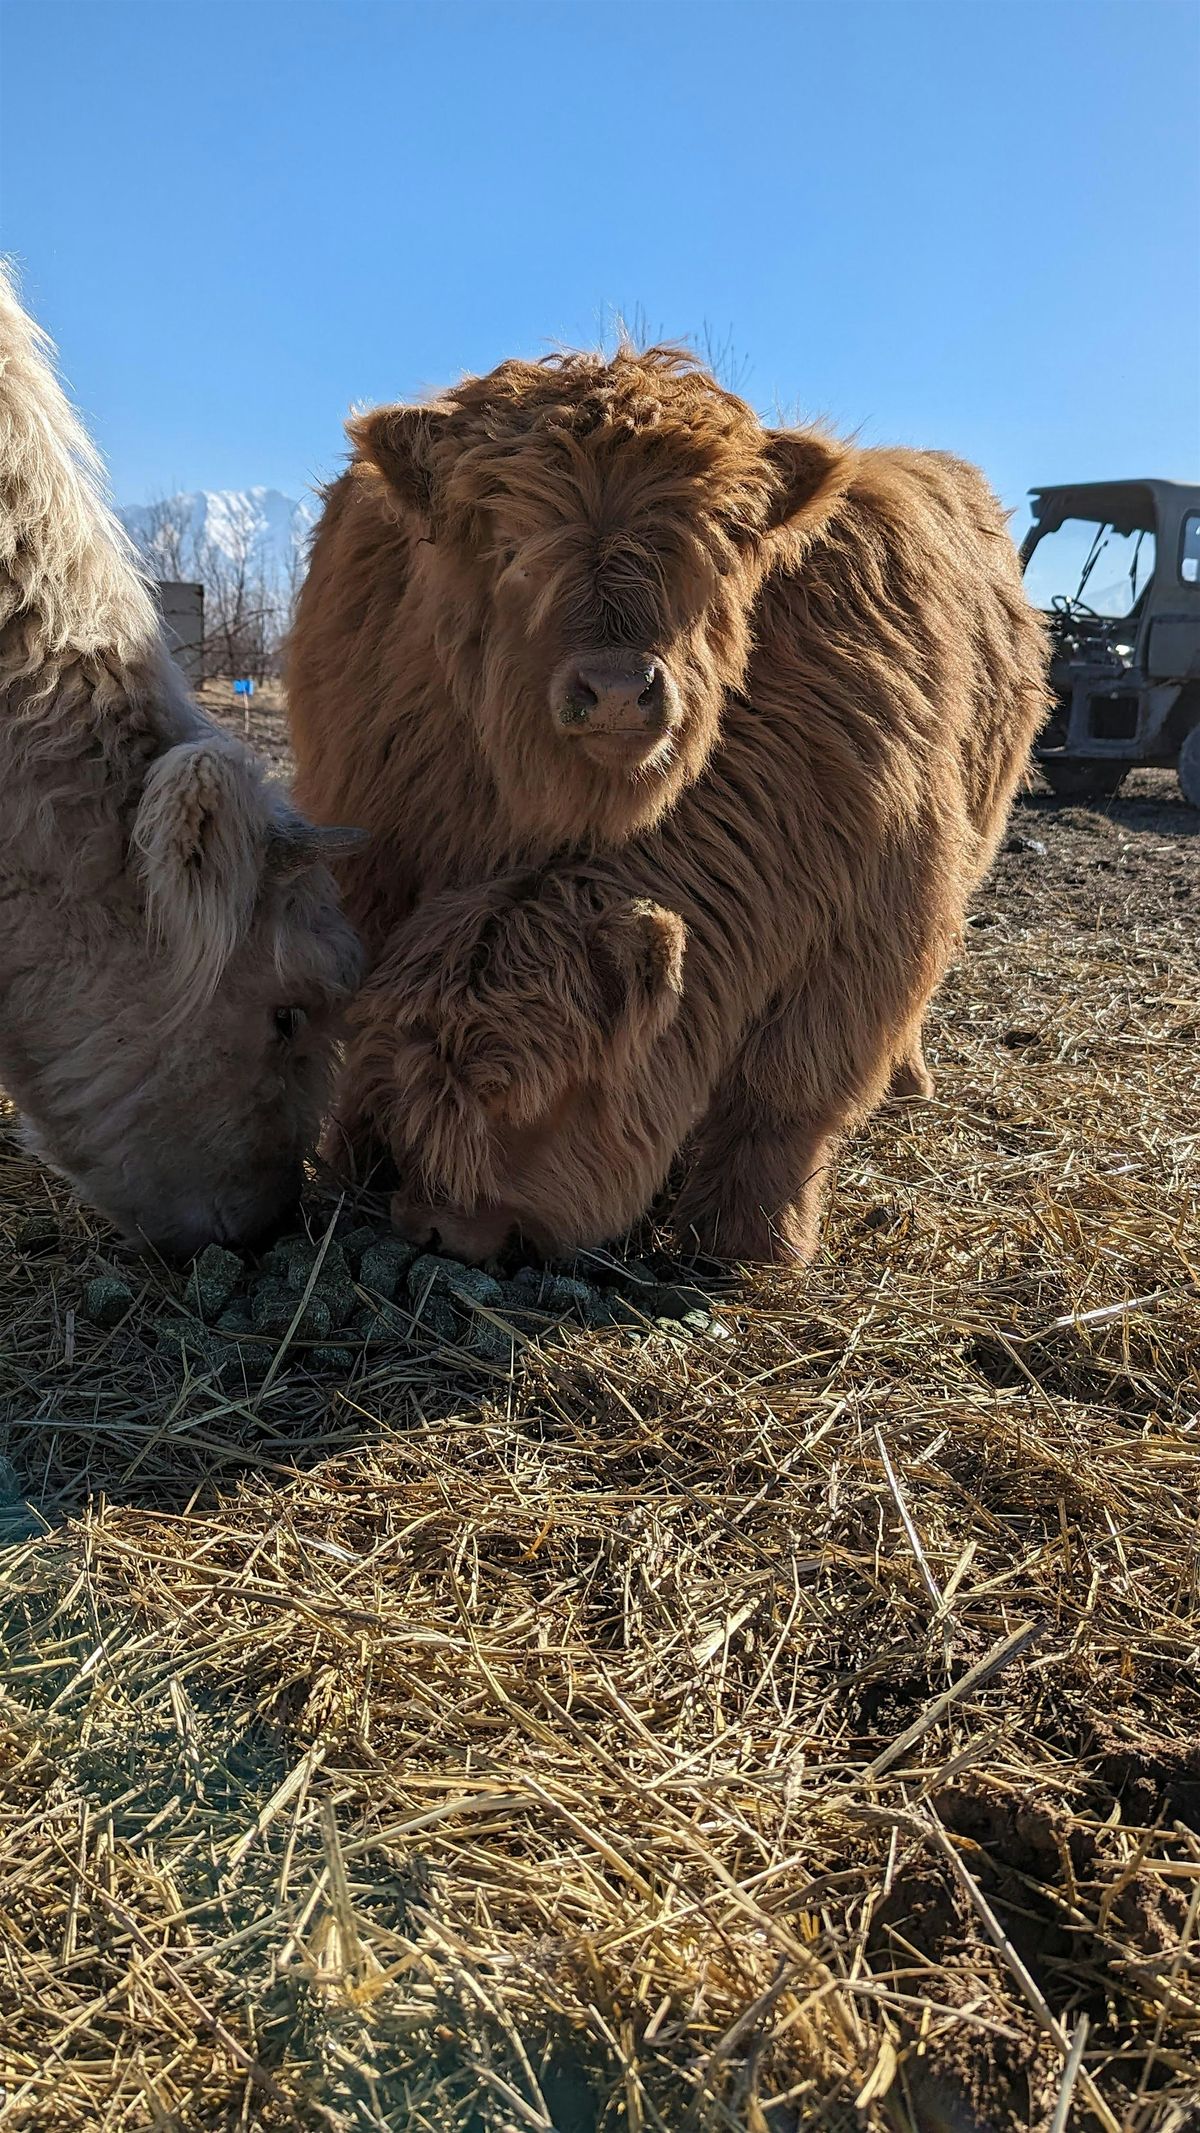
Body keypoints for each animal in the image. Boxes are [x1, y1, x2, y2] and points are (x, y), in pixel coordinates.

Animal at [289, 346, 1047, 1263]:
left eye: (710, 553)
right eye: (512, 548)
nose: (430, 1227)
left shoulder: (872, 924)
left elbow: (786, 1095)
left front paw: (749, 1243)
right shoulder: (381, 860)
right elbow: (369, 1033)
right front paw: (352, 1160)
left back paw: (908, 1086)